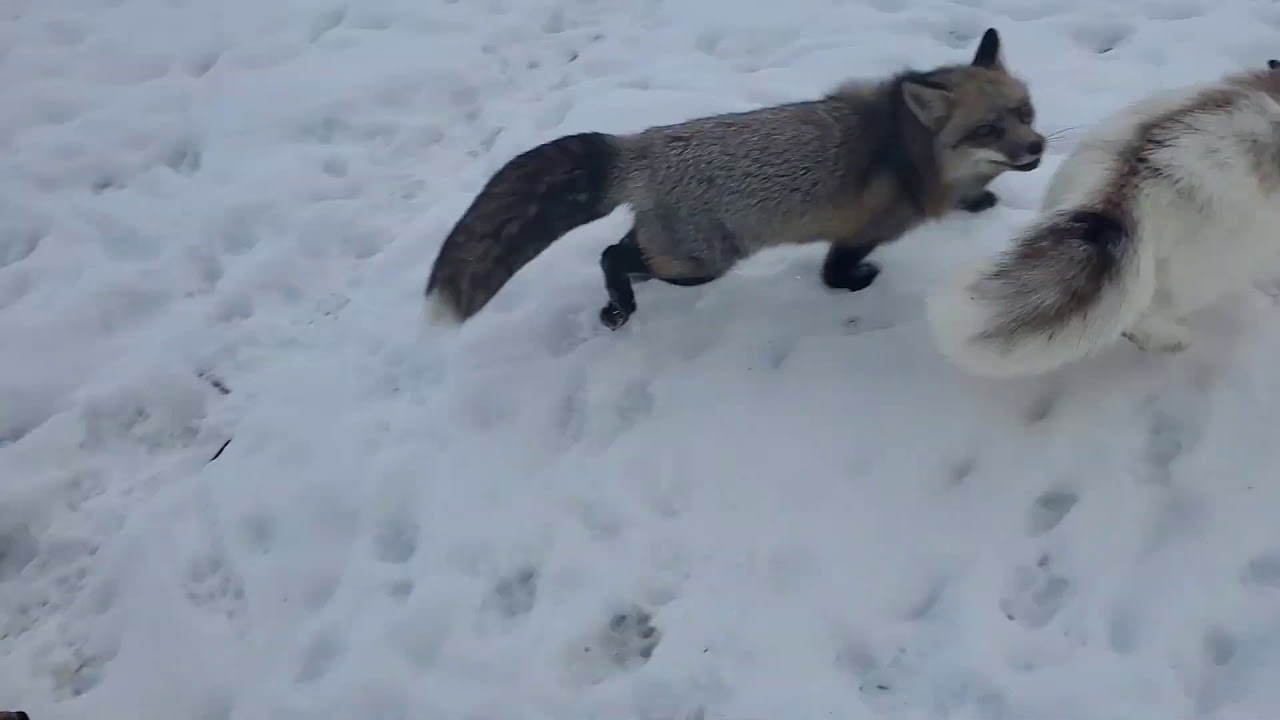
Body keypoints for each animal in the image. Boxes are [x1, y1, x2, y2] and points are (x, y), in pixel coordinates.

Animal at [423, 28, 1045, 331]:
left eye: (1025, 113)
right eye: (988, 128)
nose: (1039, 147)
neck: (906, 149)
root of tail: (640, 146)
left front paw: (979, 200)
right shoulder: (861, 229)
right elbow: (832, 270)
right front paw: (851, 286)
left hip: (672, 249)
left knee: (613, 250)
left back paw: (617, 306)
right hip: (700, 264)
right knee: (609, 256)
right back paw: (621, 308)